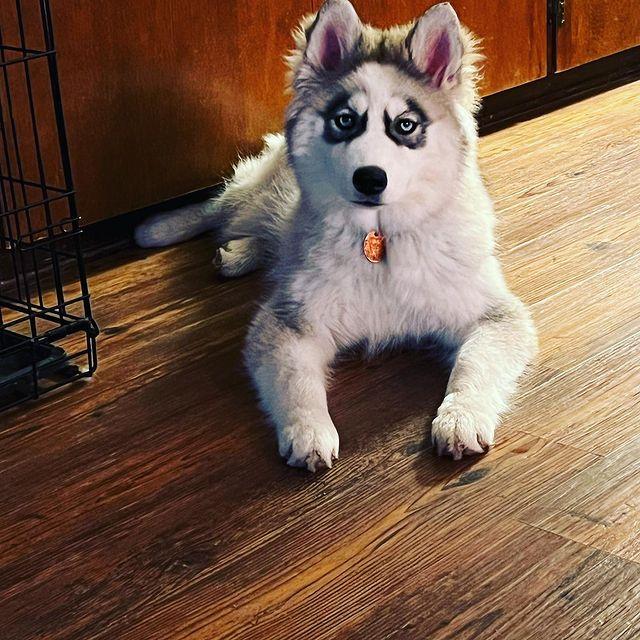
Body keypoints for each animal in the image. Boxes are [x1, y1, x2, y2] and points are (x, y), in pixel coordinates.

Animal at [135, 1, 538, 472]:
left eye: (405, 126)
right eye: (345, 121)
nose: (370, 179)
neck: (378, 240)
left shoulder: (495, 315)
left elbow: (475, 362)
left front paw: (461, 417)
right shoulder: (287, 323)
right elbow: (298, 381)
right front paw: (308, 430)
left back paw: (238, 252)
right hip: (258, 196)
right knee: (221, 207)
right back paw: (163, 230)